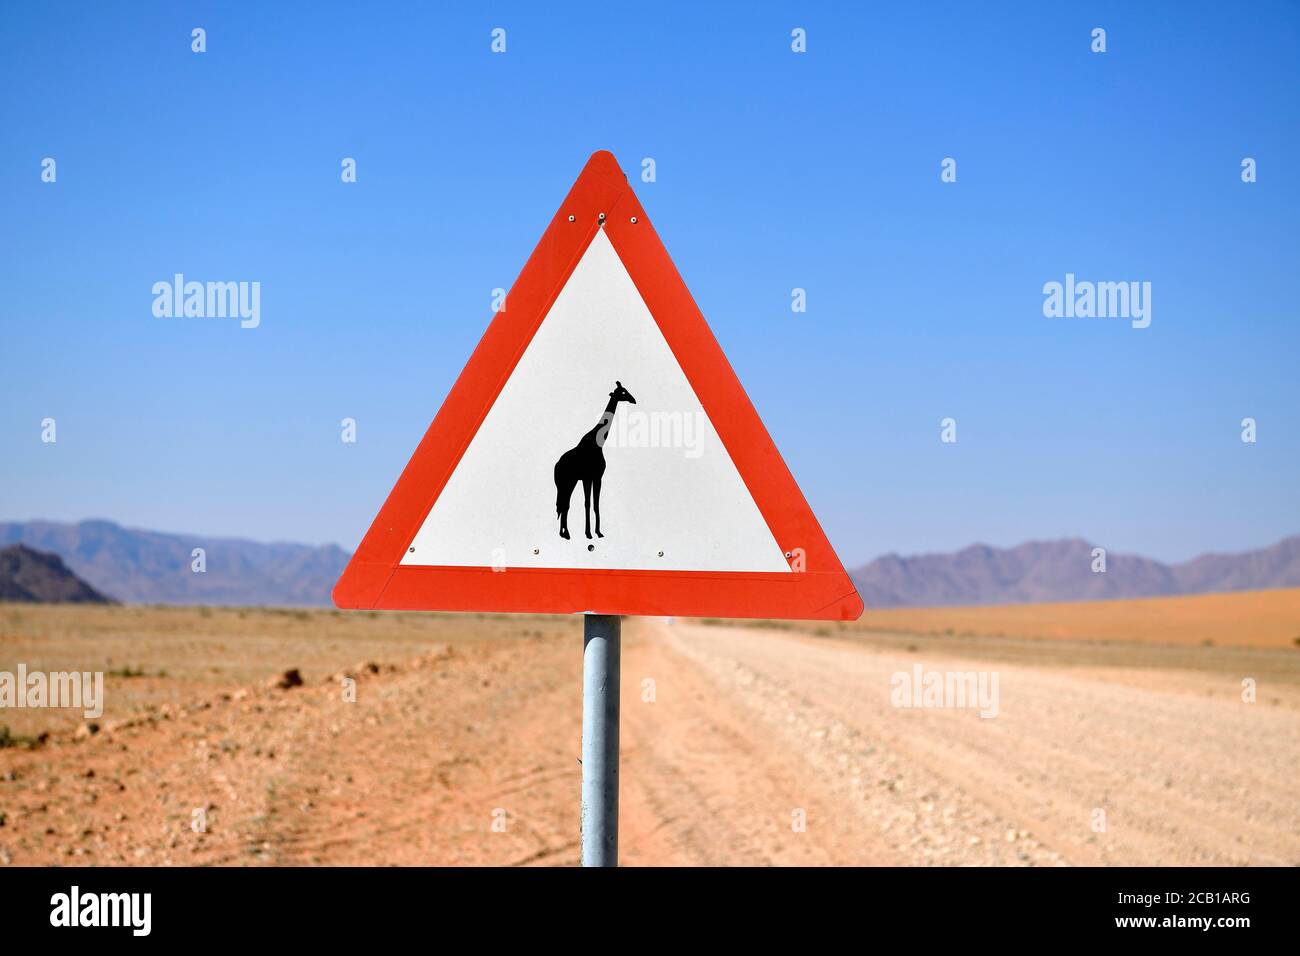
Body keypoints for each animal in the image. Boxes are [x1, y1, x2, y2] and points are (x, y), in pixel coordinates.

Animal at [554, 381, 637, 540]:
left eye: (626, 390)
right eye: (623, 392)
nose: (633, 400)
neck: (598, 443)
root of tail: (557, 466)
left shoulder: (596, 477)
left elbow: (595, 504)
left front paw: (598, 532)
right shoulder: (588, 477)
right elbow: (588, 503)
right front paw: (589, 533)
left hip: (569, 482)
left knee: (564, 504)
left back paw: (564, 533)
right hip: (566, 482)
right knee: (563, 504)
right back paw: (565, 533)